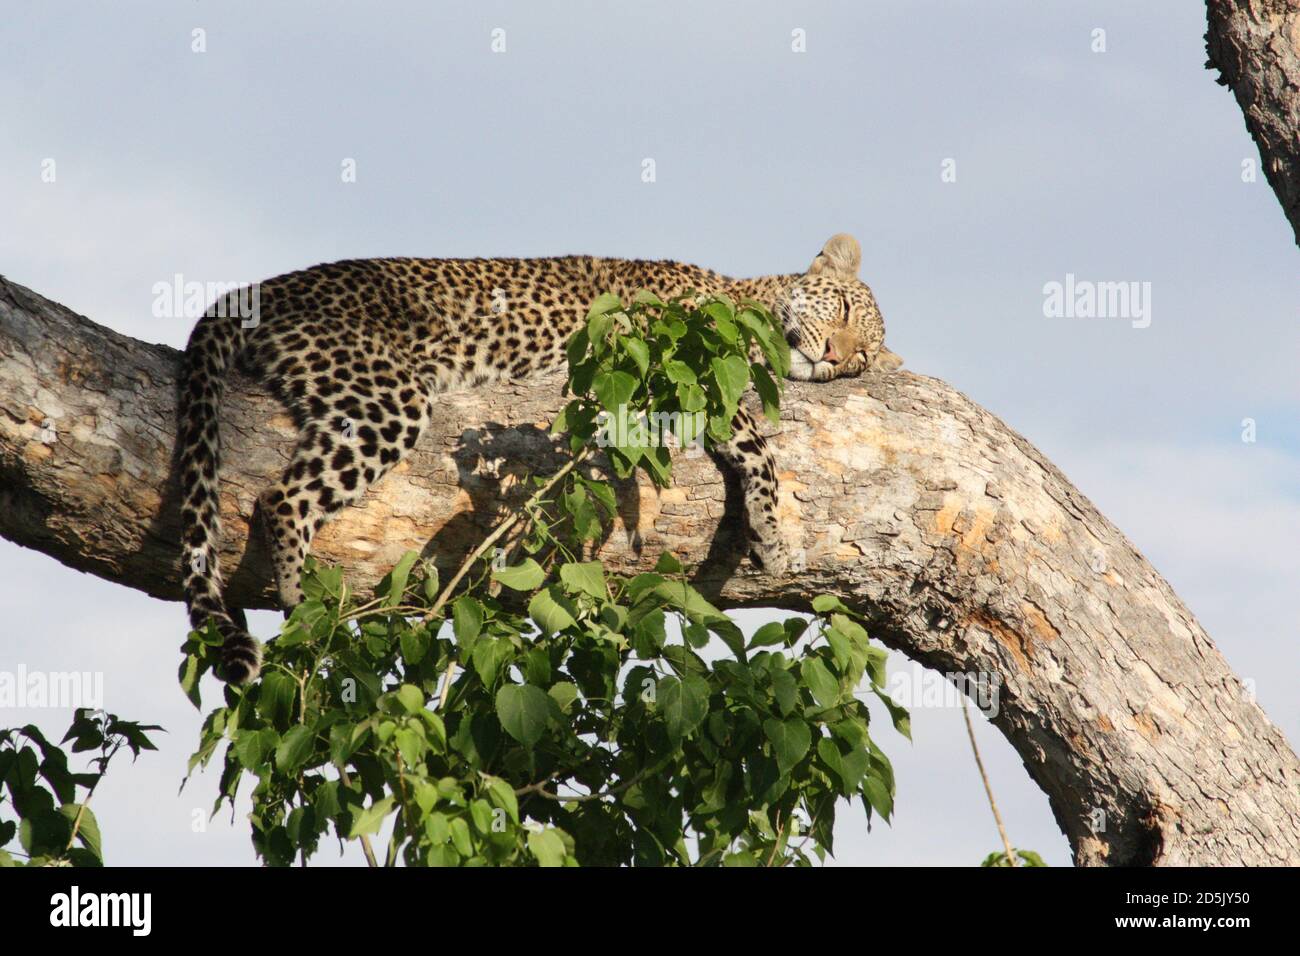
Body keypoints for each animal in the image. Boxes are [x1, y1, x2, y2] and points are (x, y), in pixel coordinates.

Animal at [177, 232, 902, 684]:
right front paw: (773, 534)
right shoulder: (671, 358)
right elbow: (755, 440)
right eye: (840, 307)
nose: (834, 356)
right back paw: (302, 611)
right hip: (386, 394)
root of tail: (257, 291)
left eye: (862, 354)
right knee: (279, 498)